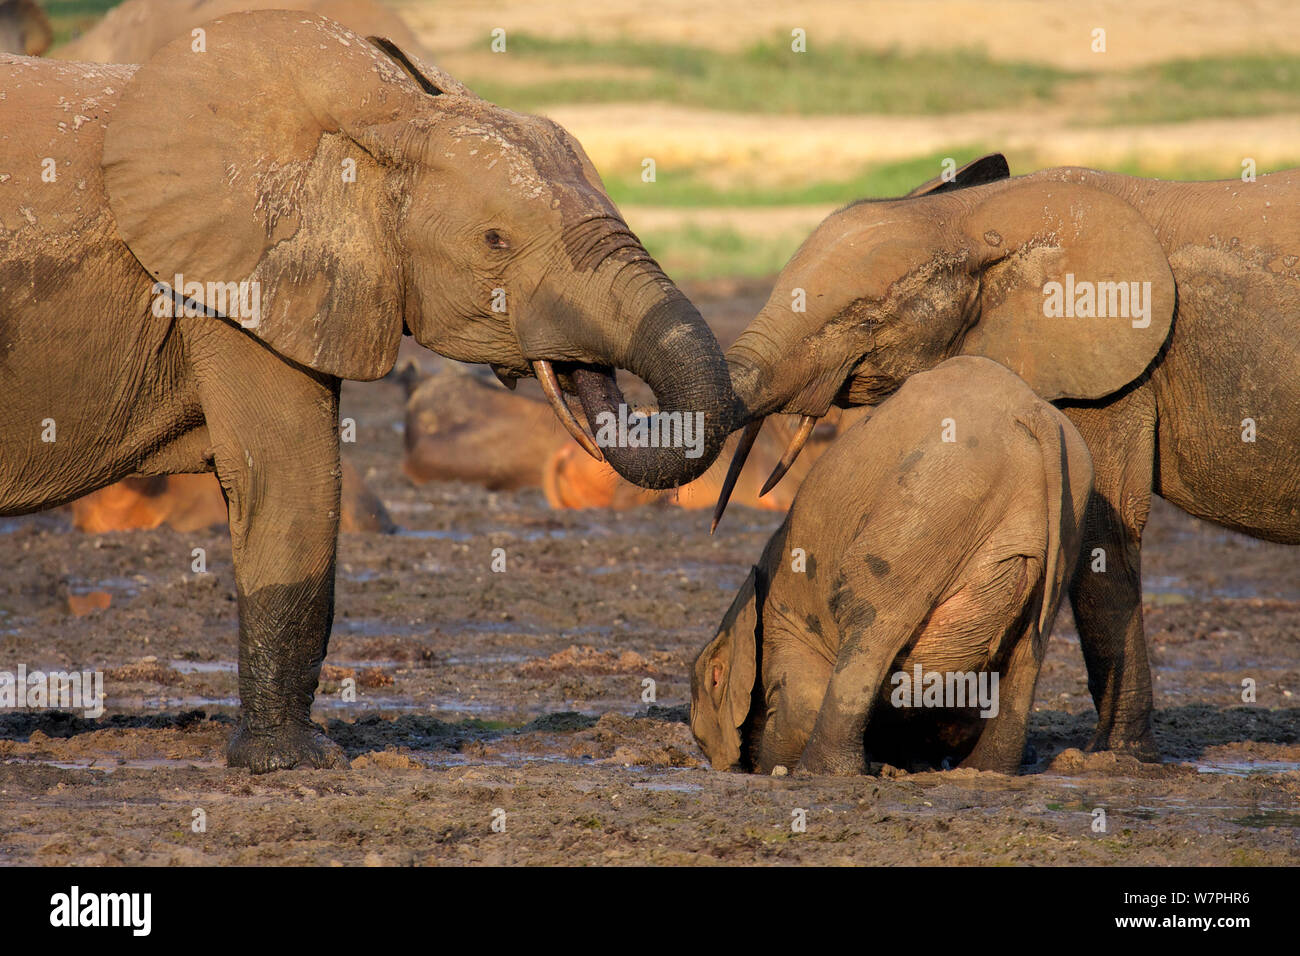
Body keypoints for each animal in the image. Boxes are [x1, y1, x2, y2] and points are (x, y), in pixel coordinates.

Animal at [693, 357, 1093, 776]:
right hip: (1069, 504)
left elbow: (797, 708)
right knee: (1030, 648)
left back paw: (823, 772)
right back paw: (985, 769)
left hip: (933, 494)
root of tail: (1029, 412)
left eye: (712, 682)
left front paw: (777, 770)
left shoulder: (787, 621)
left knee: (869, 614)